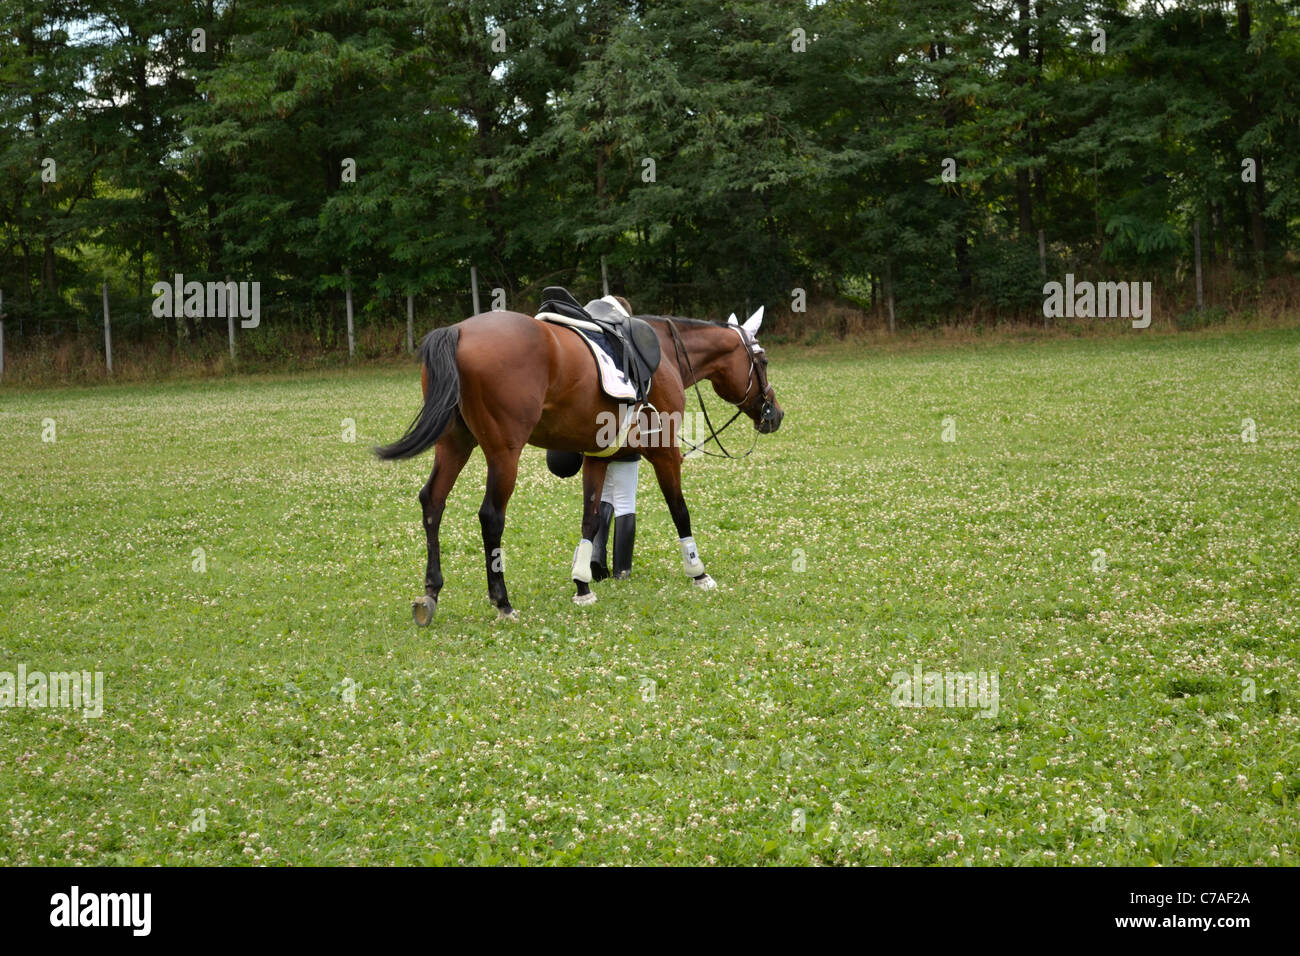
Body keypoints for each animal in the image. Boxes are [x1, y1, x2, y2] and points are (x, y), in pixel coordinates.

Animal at [374, 306, 784, 623]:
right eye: (762, 360)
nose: (774, 413)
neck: (667, 354)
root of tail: (458, 331)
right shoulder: (665, 453)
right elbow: (679, 511)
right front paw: (698, 572)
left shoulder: (598, 456)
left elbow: (591, 519)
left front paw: (582, 584)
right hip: (504, 454)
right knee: (490, 516)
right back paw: (503, 601)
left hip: (455, 444)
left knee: (433, 502)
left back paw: (431, 592)